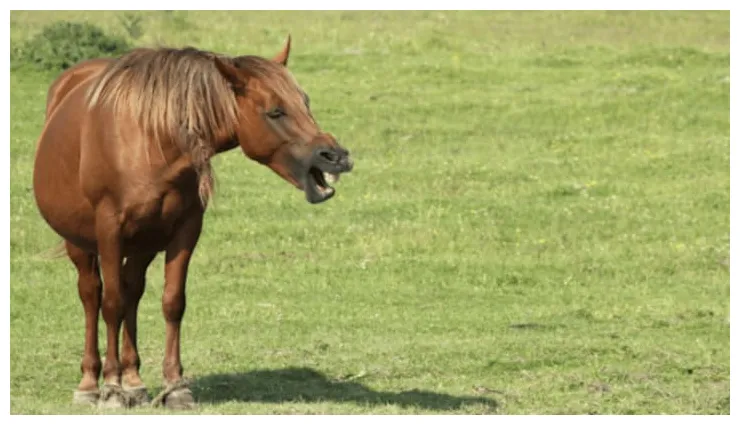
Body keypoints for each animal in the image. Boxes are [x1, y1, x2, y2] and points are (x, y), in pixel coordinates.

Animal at [32, 36, 354, 409]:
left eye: (306, 102)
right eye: (275, 111)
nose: (336, 157)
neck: (151, 139)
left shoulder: (185, 231)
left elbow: (172, 303)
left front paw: (175, 387)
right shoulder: (109, 230)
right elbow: (110, 304)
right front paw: (111, 389)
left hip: (143, 244)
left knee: (132, 292)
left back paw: (134, 381)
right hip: (81, 244)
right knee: (91, 295)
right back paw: (91, 384)